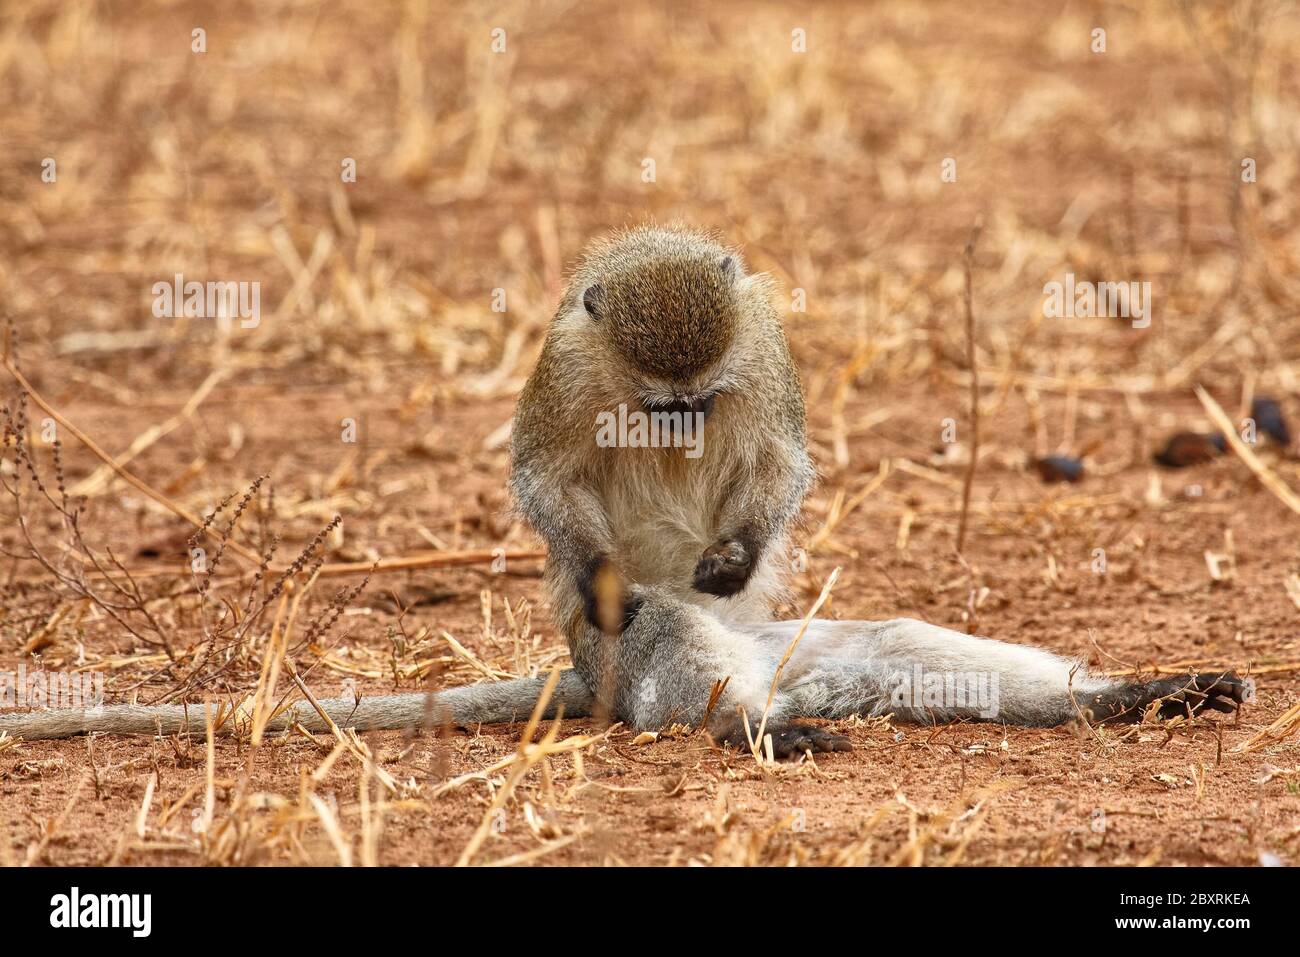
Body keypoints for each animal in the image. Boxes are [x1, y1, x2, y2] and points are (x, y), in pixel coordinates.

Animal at [0, 226, 1247, 748]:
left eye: (699, 402)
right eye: (659, 404)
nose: (681, 419)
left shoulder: (765, 352)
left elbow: (783, 461)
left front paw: (737, 544)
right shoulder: (562, 379)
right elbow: (545, 477)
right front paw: (604, 558)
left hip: (811, 649)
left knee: (902, 650)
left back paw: (1131, 696)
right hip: (636, 661)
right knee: (665, 650)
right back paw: (746, 731)